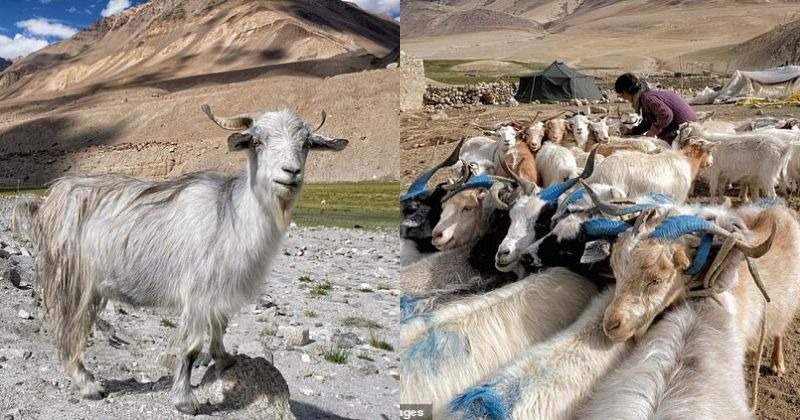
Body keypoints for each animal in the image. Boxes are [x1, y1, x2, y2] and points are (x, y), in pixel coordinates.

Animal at [32, 105, 347, 414]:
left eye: (307, 144)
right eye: (257, 141)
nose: (291, 172)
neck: (232, 215)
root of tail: (56, 193)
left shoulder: (219, 292)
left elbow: (220, 327)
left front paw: (225, 359)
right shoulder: (198, 293)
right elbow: (192, 348)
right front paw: (185, 400)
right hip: (72, 278)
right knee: (70, 329)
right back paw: (88, 385)